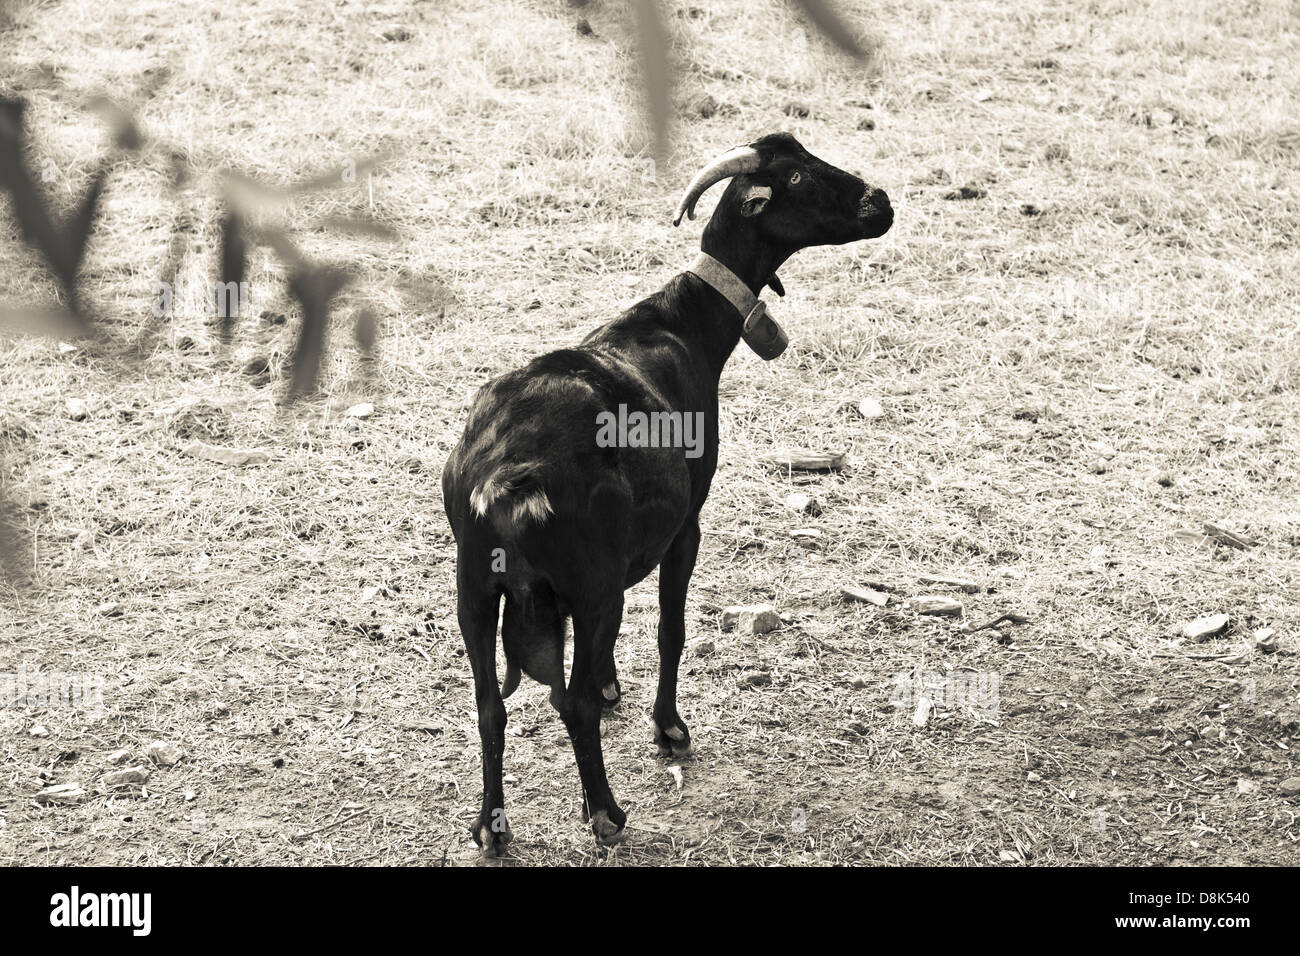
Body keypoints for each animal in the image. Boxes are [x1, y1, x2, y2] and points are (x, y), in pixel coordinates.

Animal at [442, 132, 893, 855]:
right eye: (795, 177)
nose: (881, 203)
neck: (684, 326)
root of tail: (506, 476)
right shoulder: (685, 525)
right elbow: (670, 630)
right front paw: (669, 727)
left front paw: (612, 685)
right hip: (589, 583)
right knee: (569, 703)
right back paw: (605, 812)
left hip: (476, 590)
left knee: (489, 704)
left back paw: (491, 824)